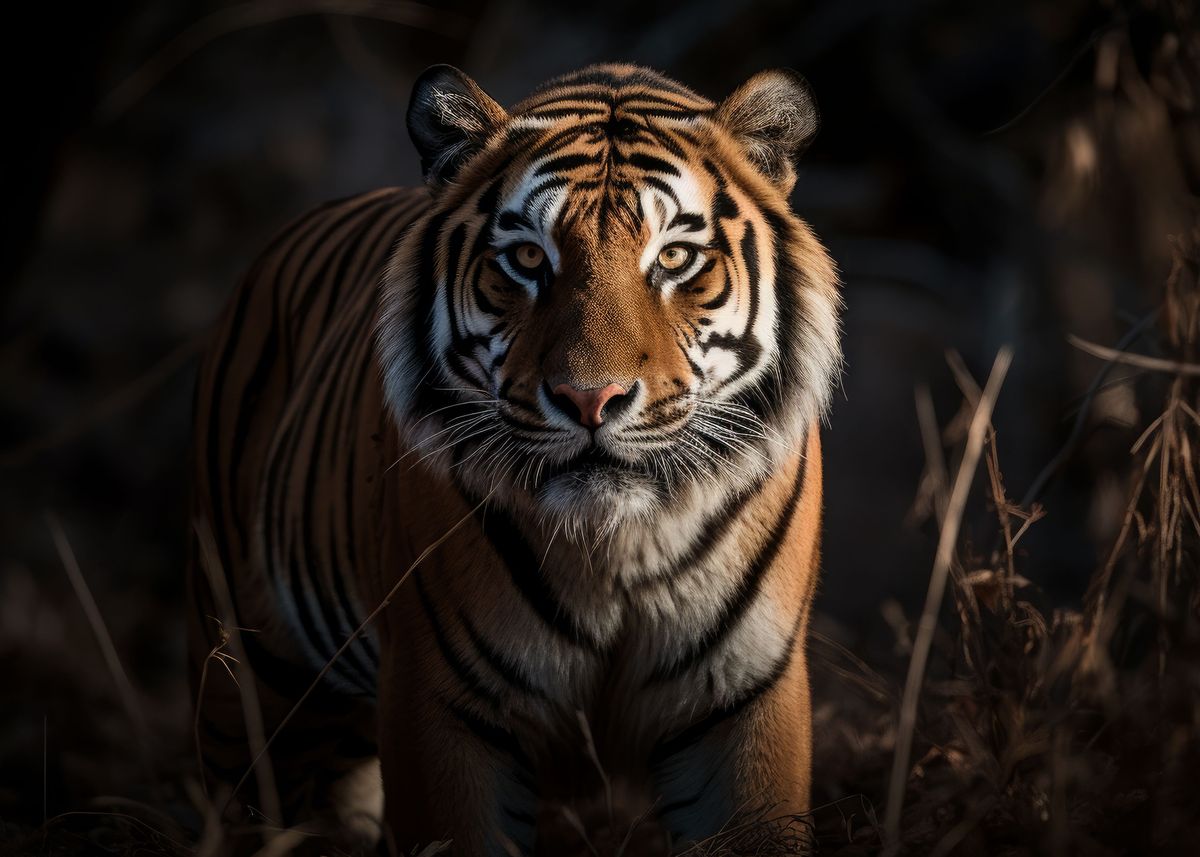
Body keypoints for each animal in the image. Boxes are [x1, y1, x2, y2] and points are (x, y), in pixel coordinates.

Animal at [188, 62, 841, 856]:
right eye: (528, 258)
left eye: (675, 258)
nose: (591, 399)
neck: (616, 548)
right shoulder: (441, 705)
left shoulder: (747, 696)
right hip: (244, 684)